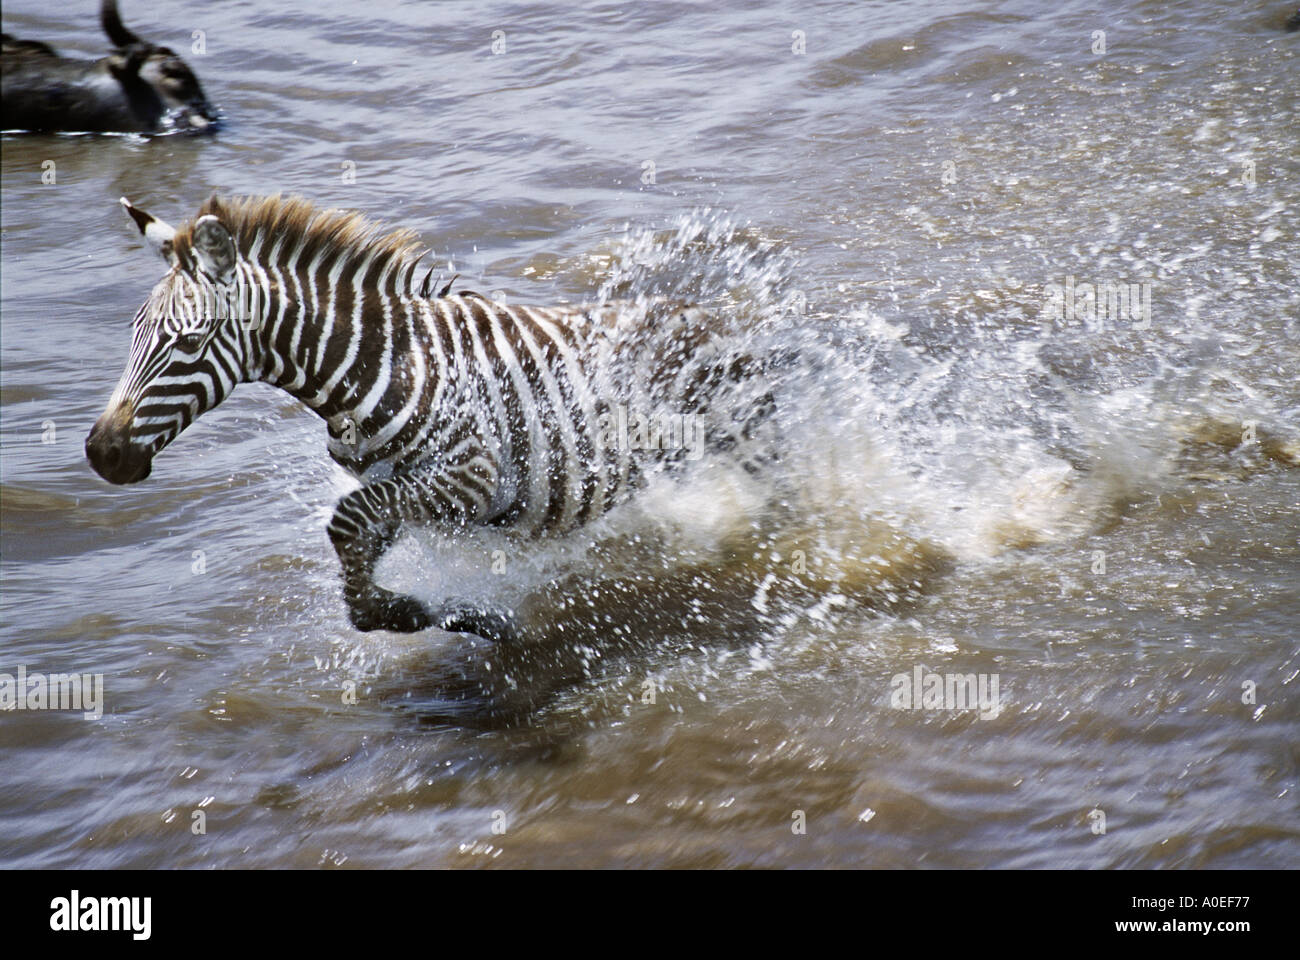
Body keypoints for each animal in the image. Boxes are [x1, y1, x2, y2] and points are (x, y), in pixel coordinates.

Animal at [86, 195, 782, 638]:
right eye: (133, 331)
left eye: (189, 342)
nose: (101, 453)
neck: (382, 366)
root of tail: (719, 316)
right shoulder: (405, 490)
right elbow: (355, 544)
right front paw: (456, 616)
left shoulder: (469, 476)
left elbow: (345, 522)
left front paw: (431, 613)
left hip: (746, 452)